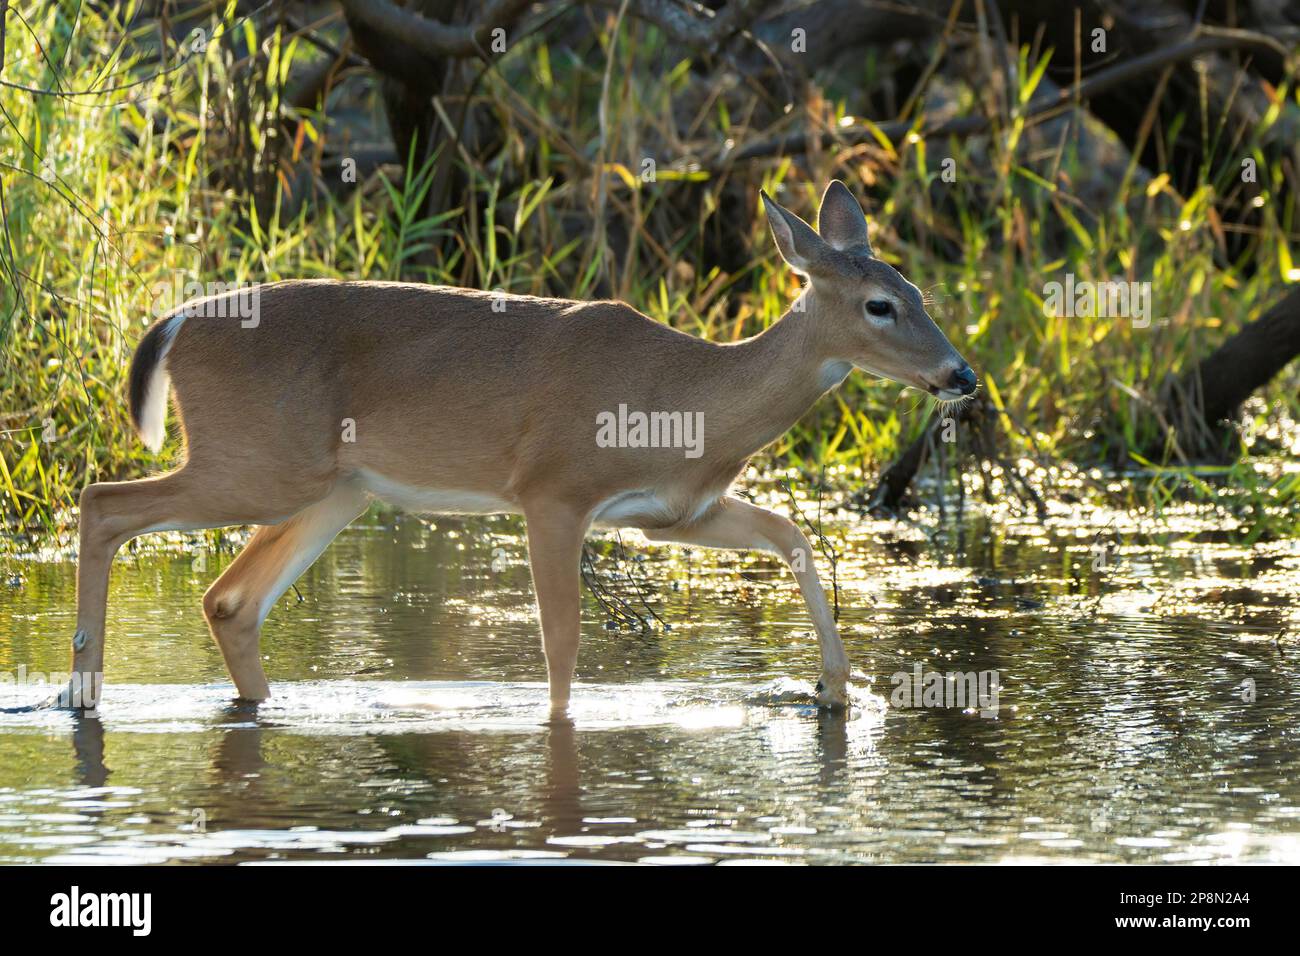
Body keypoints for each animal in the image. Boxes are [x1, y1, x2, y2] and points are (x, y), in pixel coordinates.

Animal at [62, 181, 975, 716]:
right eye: (880, 304)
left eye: (922, 291)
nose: (961, 374)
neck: (688, 401)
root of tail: (176, 322)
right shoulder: (553, 489)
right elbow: (561, 639)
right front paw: (555, 728)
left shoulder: (674, 514)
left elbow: (793, 534)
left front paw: (833, 687)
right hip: (257, 465)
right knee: (103, 503)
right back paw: (79, 692)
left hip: (334, 488)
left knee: (230, 601)